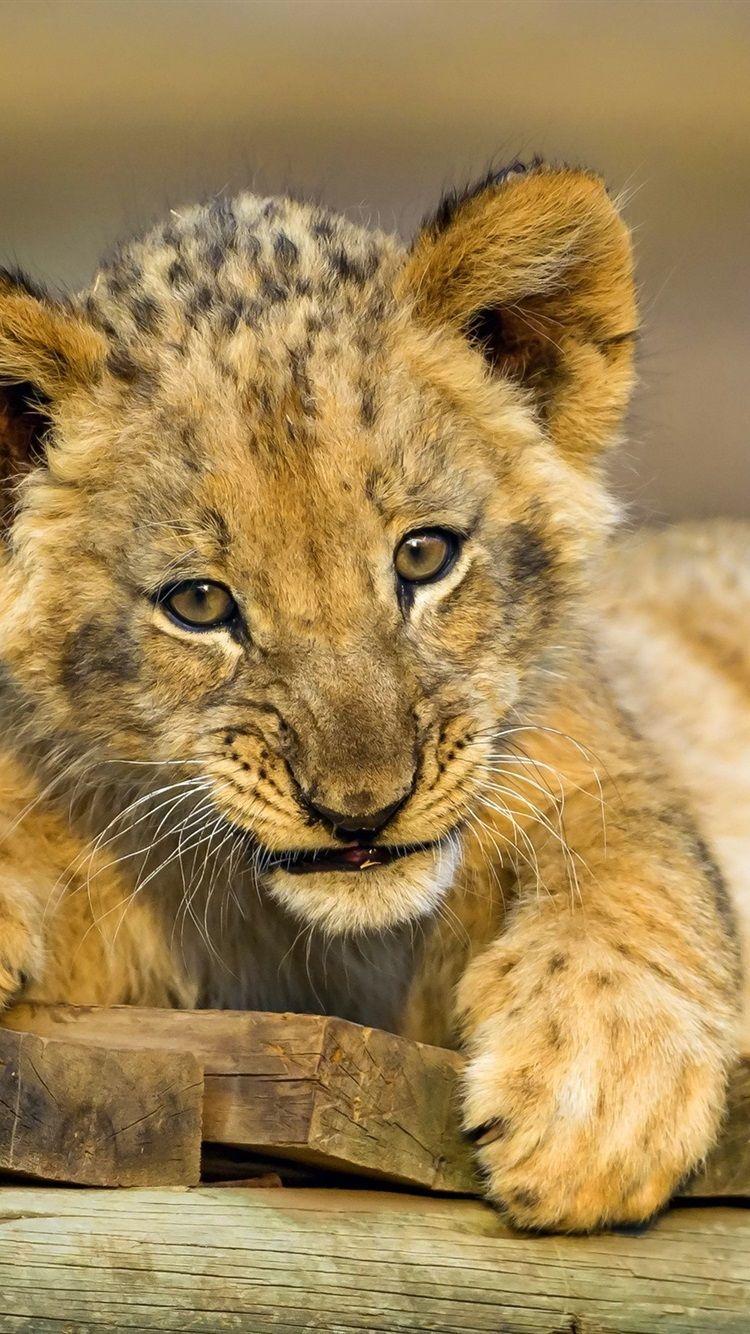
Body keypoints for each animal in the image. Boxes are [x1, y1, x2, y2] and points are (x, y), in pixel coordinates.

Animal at [0, 162, 745, 1232]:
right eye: (199, 604)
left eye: (424, 556)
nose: (362, 811)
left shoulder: (593, 752)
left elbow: (635, 861)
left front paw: (596, 1097)